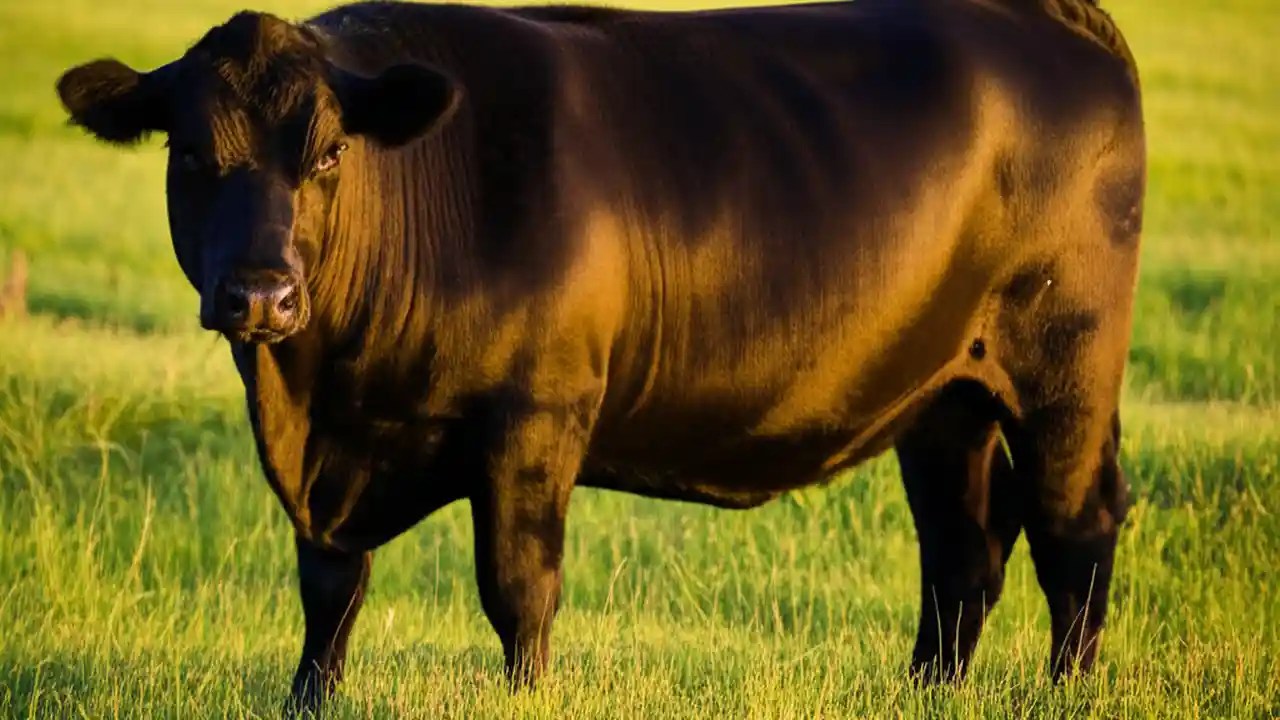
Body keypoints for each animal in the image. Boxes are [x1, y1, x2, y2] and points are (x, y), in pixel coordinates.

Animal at [57, 0, 1144, 713]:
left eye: (329, 154)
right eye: (187, 153)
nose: (260, 293)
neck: (319, 401)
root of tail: (1059, 15)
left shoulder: (537, 413)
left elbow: (517, 589)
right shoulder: (332, 468)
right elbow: (330, 593)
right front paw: (305, 703)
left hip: (1063, 370)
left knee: (1072, 529)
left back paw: (1066, 694)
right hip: (946, 396)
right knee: (964, 547)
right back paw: (925, 690)